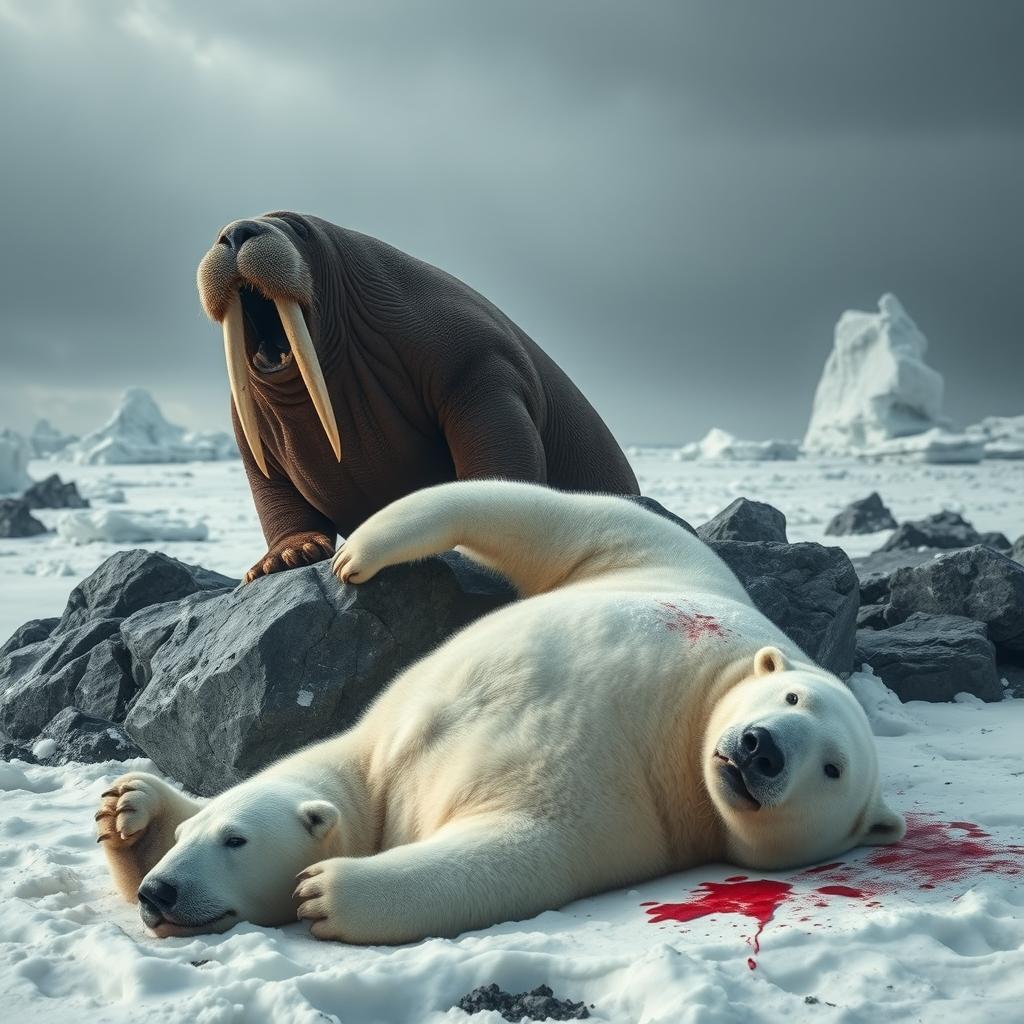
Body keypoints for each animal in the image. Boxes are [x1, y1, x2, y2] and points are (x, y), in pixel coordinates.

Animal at [95, 480, 904, 942]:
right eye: (793, 697)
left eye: (832, 769)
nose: (763, 748)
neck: (692, 707)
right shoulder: (681, 576)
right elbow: (567, 516)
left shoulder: (627, 809)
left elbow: (522, 851)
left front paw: (330, 889)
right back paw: (128, 809)